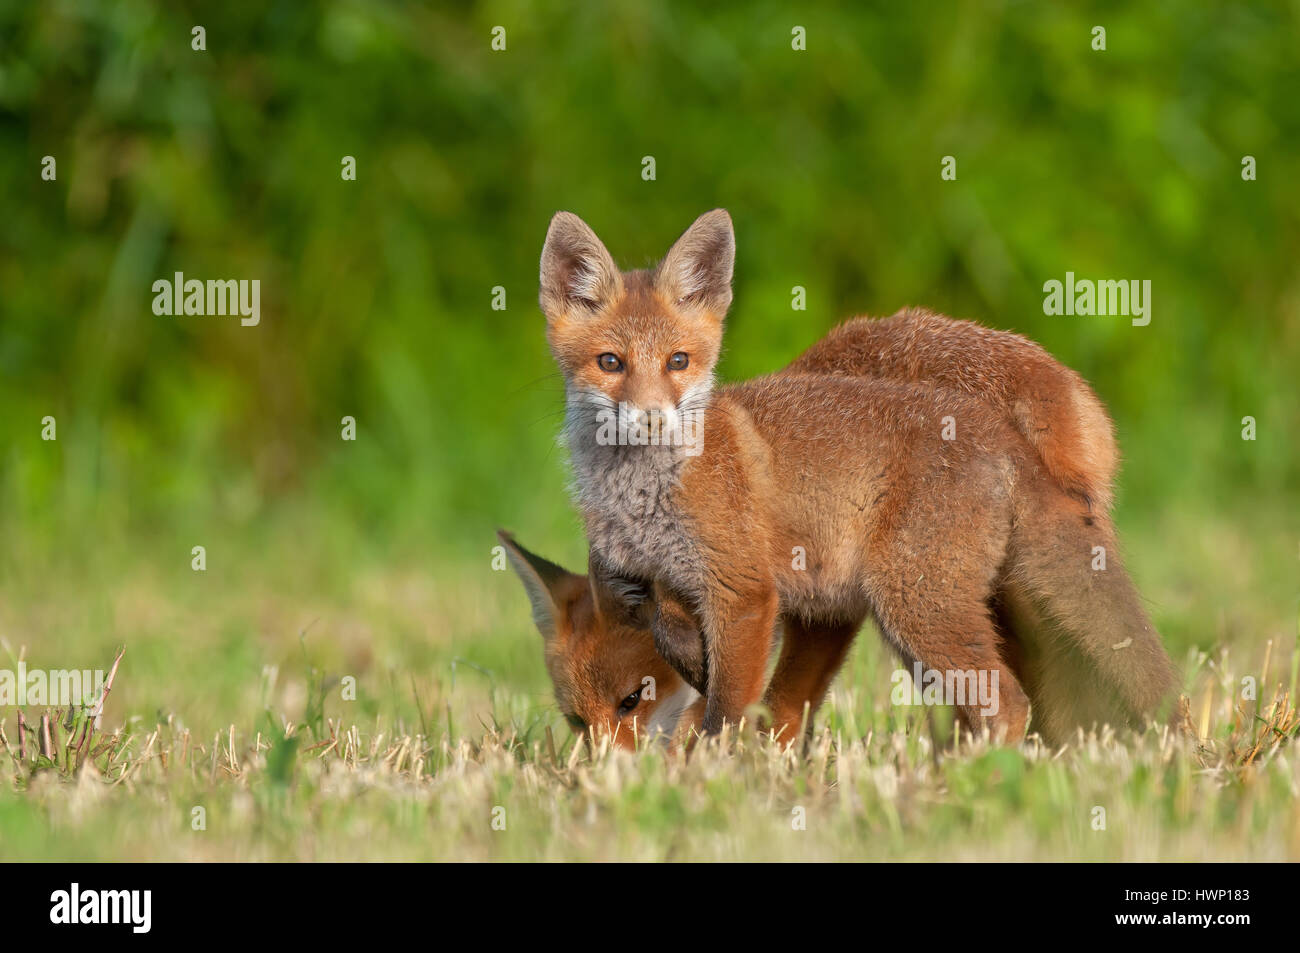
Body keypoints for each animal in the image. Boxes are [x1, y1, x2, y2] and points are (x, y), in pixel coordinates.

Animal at [526, 208, 1175, 746]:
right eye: (611, 362)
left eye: (677, 361)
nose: (653, 418)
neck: (644, 499)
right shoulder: (744, 596)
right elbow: (705, 658)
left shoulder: (750, 594)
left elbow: (731, 709)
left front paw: (716, 769)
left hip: (914, 602)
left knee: (1010, 702)